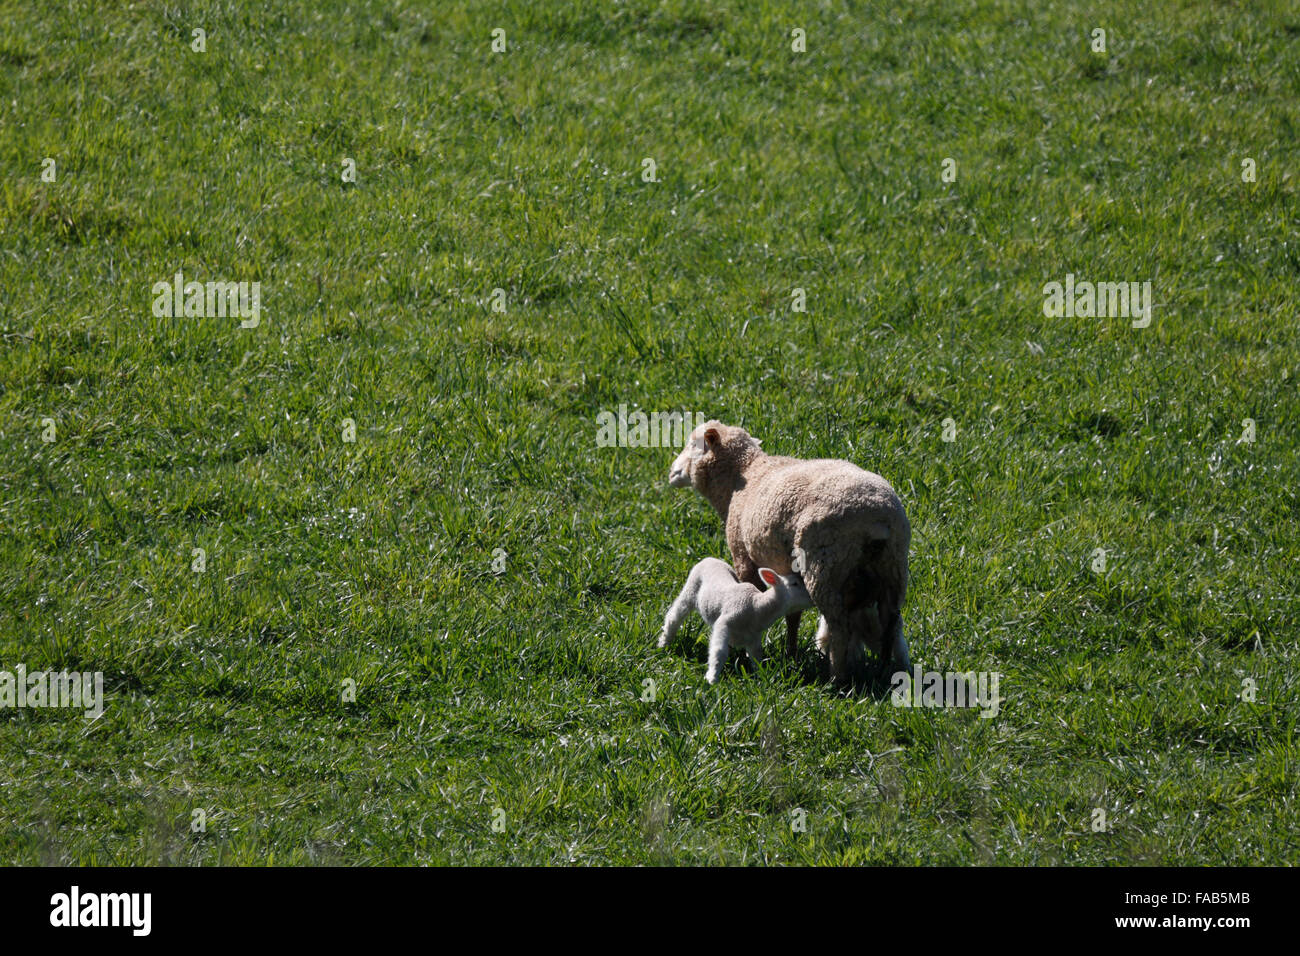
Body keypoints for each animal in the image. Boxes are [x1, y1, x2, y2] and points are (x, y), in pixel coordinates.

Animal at [658, 558, 813, 684]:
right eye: (794, 584)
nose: (812, 597)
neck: (757, 606)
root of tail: (709, 558)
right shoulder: (724, 623)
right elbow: (719, 651)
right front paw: (712, 678)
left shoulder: (754, 637)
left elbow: (757, 657)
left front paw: (761, 676)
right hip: (691, 589)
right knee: (674, 616)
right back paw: (663, 644)